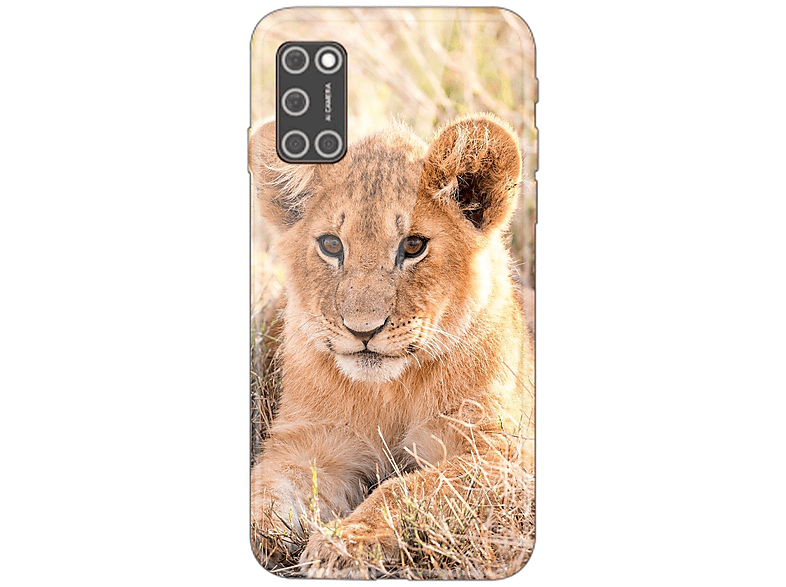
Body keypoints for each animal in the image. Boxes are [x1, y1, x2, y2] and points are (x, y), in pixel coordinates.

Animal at [249, 114, 534, 578]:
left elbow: (409, 488)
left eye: (413, 245)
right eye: (331, 245)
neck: (391, 390)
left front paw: (345, 544)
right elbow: (268, 489)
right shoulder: (309, 442)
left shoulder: (504, 454)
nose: (363, 330)